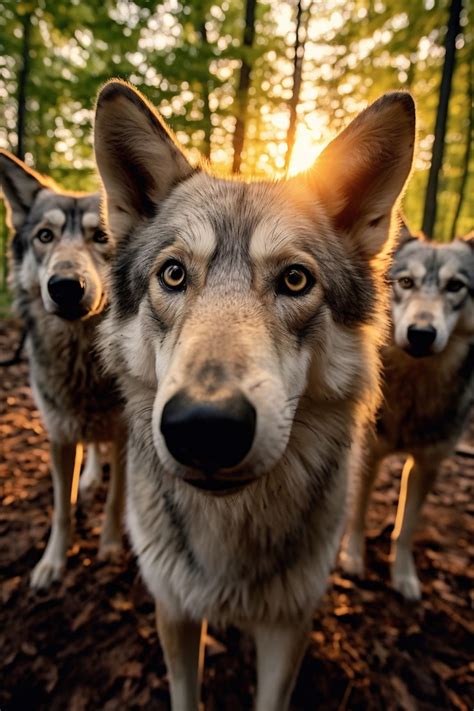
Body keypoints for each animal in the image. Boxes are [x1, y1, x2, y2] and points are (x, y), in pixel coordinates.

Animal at [0, 150, 125, 589]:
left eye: (101, 237)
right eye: (44, 236)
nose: (65, 286)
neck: (83, 364)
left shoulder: (126, 437)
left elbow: (115, 500)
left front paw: (109, 547)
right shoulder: (58, 434)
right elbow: (61, 508)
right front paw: (51, 563)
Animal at [340, 229, 474, 600]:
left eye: (455, 286)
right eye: (405, 282)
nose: (421, 333)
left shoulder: (427, 465)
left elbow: (406, 526)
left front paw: (404, 577)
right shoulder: (368, 453)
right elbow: (359, 510)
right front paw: (352, 558)